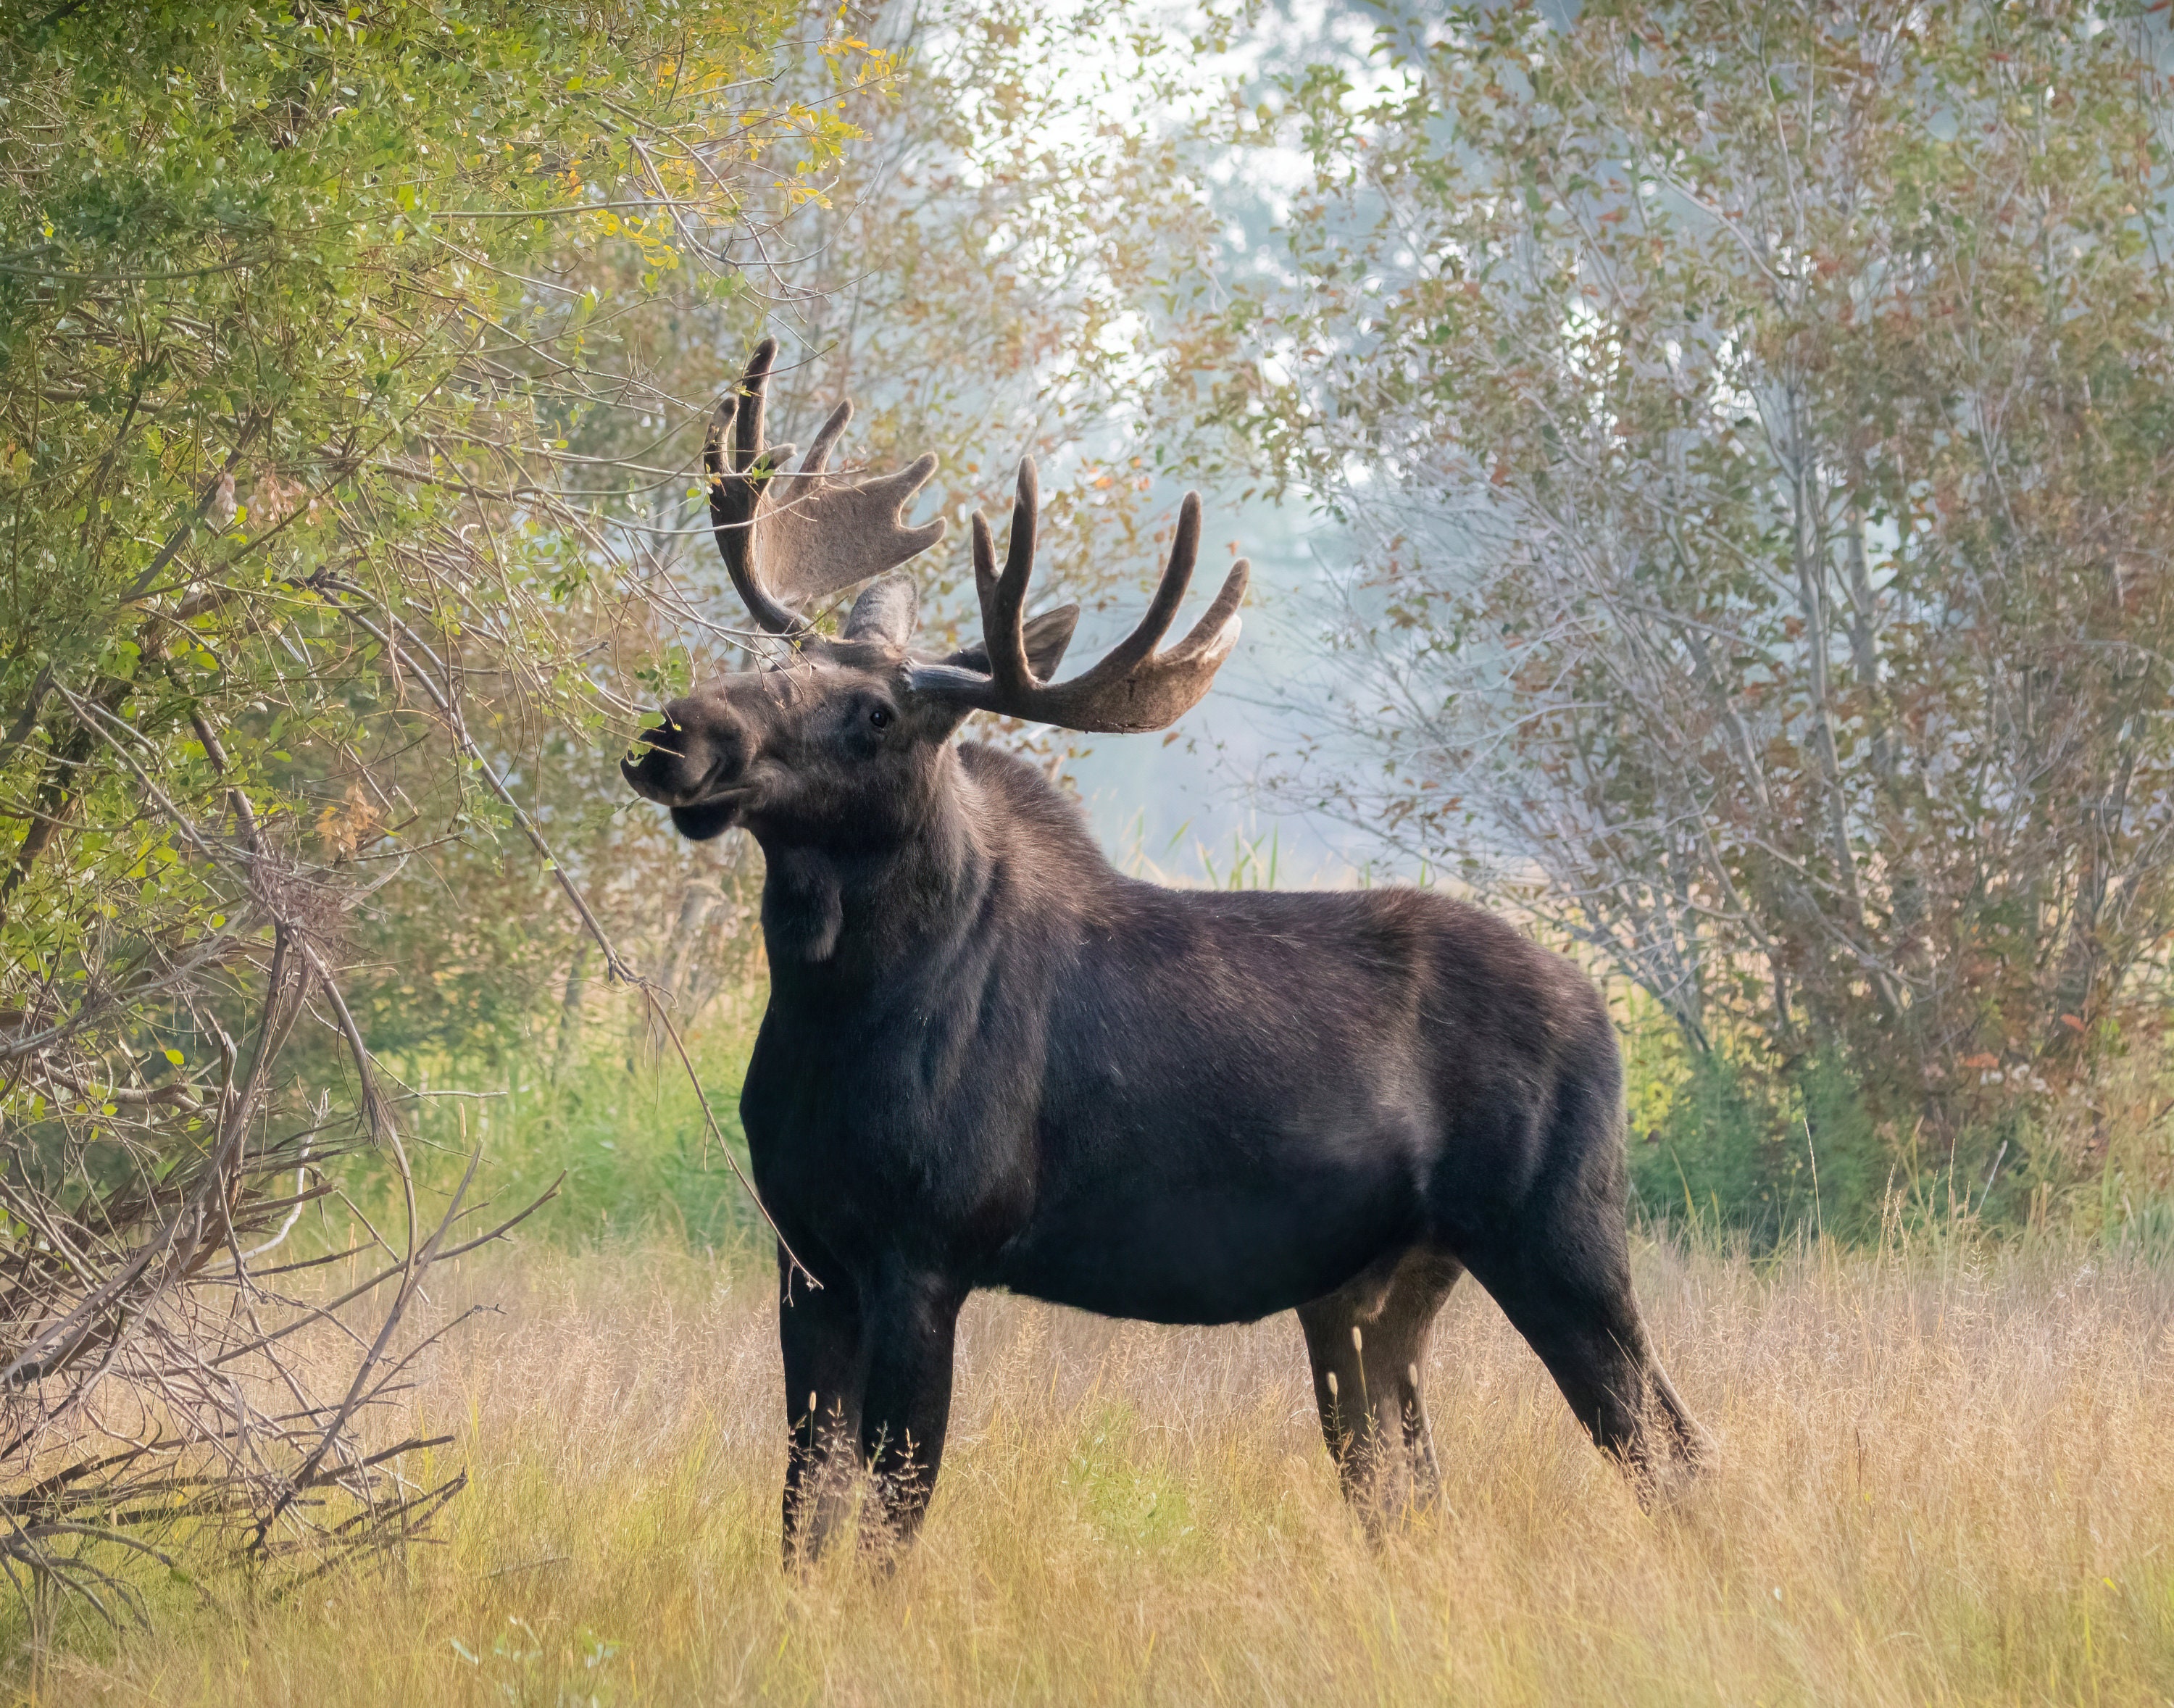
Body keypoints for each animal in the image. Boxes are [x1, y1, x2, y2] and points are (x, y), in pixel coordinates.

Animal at [621, 342, 1706, 1561]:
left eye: (878, 716)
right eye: (781, 652)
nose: (679, 734)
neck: (836, 1010)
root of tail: (1603, 1016)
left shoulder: (925, 1253)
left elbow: (887, 1523)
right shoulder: (804, 1257)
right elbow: (805, 1522)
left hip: (1562, 1234)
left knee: (1671, 1447)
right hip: (1374, 1288)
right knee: (1407, 1483)